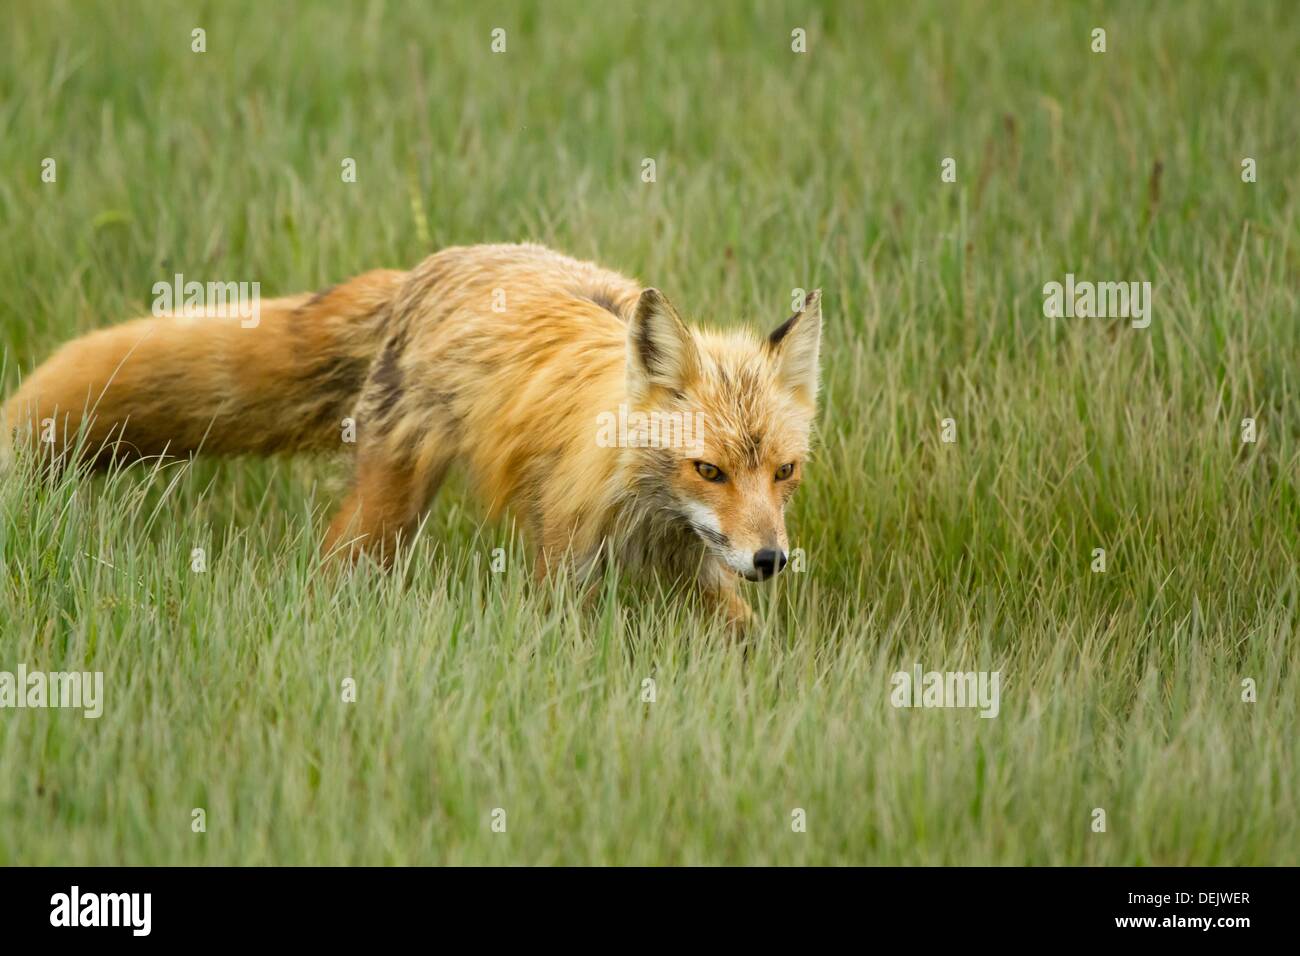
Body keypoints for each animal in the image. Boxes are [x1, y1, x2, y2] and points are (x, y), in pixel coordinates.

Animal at [1, 244, 822, 628]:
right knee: (335, 568)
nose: (771, 559)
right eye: (709, 470)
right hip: (383, 517)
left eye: (783, 472)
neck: (650, 515)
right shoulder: (563, 566)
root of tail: (426, 269)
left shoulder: (703, 579)